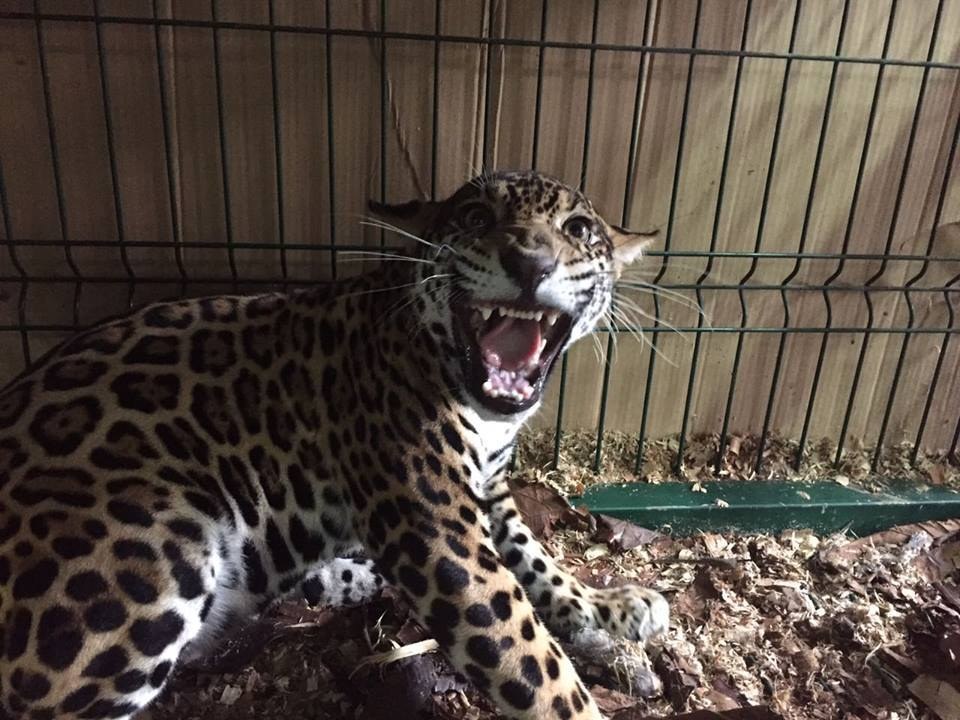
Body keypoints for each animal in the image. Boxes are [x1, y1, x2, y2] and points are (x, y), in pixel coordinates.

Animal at [0, 169, 669, 720]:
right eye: (478, 217)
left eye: (578, 229)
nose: (530, 261)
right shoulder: (436, 525)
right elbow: (533, 661)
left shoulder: (489, 491)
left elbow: (535, 557)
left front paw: (604, 605)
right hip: (152, 554)